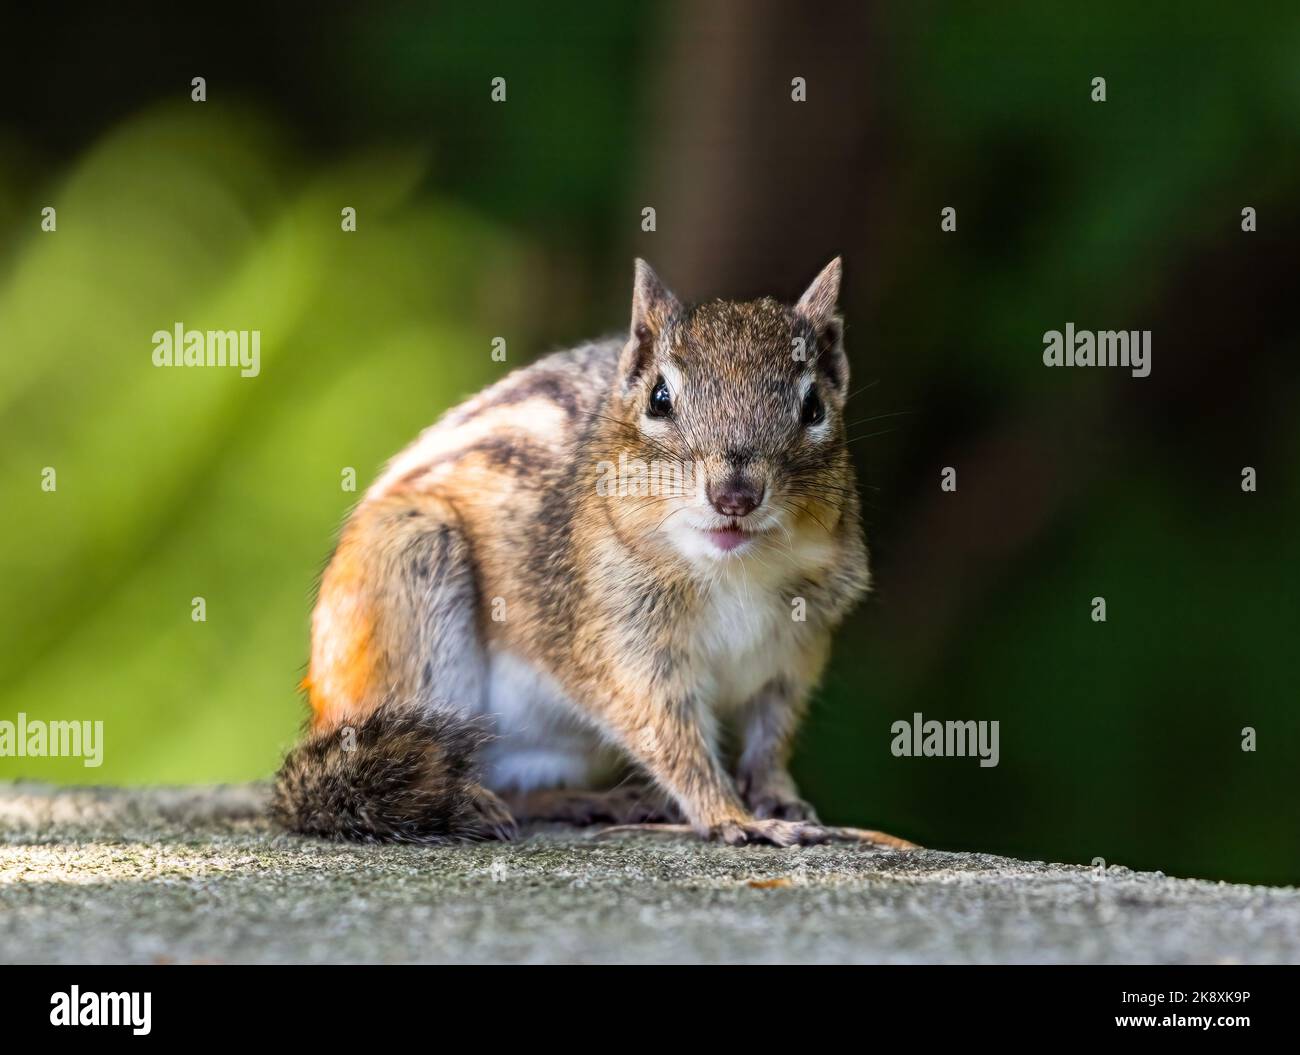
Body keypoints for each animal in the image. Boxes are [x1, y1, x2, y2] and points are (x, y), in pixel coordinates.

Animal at [271, 257, 915, 849]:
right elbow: (672, 738)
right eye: (659, 398)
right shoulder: (624, 644)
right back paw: (488, 802)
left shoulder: (794, 652)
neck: (734, 572)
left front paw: (777, 794)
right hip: (411, 581)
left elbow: (772, 736)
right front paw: (733, 815)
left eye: (814, 408)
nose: (735, 495)